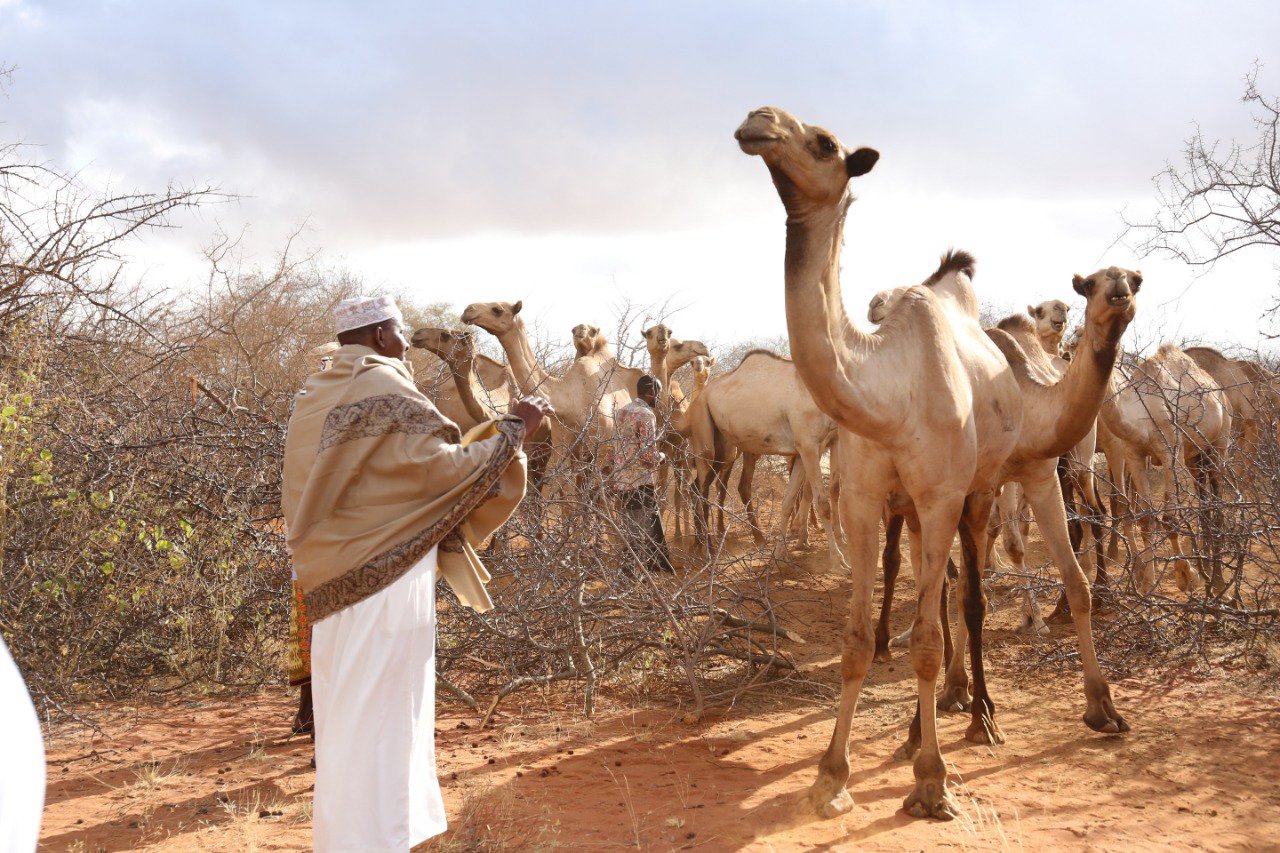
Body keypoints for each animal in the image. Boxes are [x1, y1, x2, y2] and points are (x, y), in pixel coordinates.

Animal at [738, 105, 1030, 819]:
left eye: (823, 143)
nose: (758, 121)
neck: (890, 395)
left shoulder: (942, 494)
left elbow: (925, 643)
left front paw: (932, 782)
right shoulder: (867, 498)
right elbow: (856, 642)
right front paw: (830, 777)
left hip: (979, 489)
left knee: (970, 598)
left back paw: (980, 718)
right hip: (921, 510)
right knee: (940, 589)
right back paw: (912, 733)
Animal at [1098, 343, 1232, 593]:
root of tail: (1220, 393)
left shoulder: (1171, 451)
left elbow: (1170, 520)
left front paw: (1186, 575)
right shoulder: (1134, 455)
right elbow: (1147, 519)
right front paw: (1147, 584)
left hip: (1221, 442)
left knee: (1218, 501)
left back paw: (1217, 578)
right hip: (1195, 457)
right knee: (1204, 502)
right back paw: (1207, 566)